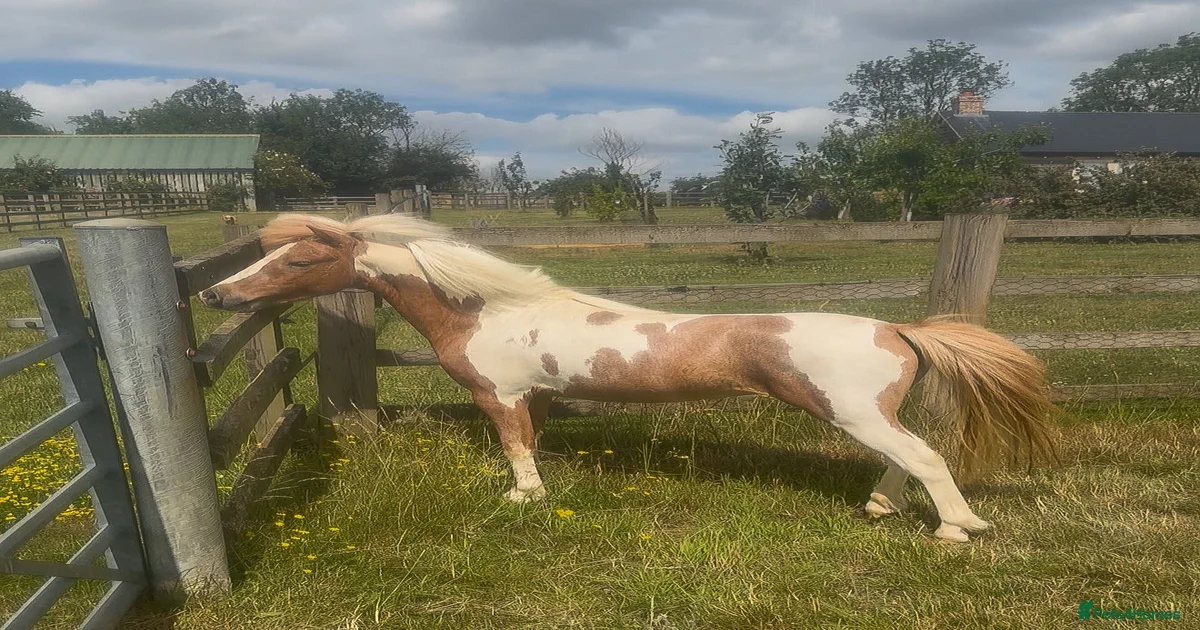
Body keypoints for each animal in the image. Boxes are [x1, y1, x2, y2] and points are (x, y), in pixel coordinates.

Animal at [199, 213, 1058, 542]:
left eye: (299, 260)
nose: (216, 294)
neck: (485, 308)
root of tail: (899, 329)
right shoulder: (536, 396)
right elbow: (534, 440)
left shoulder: (497, 396)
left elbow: (515, 450)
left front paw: (522, 500)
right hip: (866, 415)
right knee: (901, 460)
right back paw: (880, 508)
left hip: (854, 411)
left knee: (926, 458)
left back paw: (956, 529)